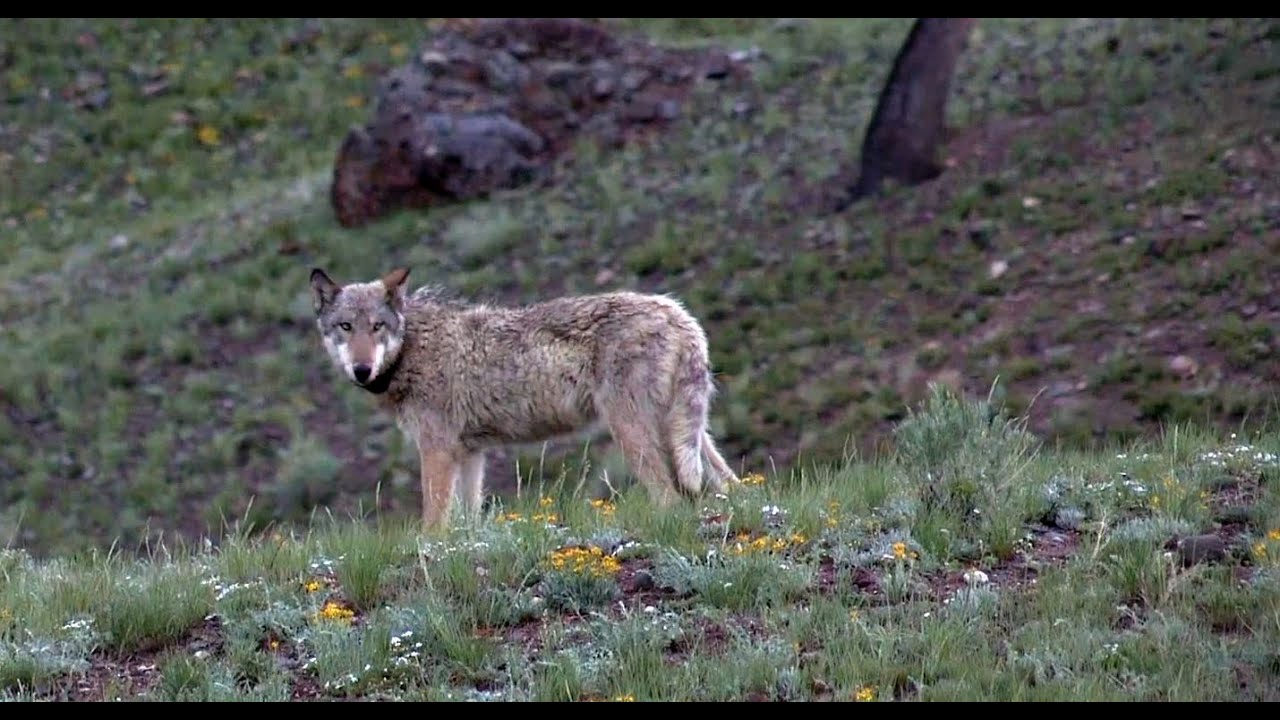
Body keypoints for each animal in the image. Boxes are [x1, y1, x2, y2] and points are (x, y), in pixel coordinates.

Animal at [309, 266, 741, 531]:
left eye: (376, 327)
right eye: (345, 327)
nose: (361, 369)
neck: (414, 347)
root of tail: (678, 314)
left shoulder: (437, 451)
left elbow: (433, 525)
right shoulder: (470, 454)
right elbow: (468, 520)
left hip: (634, 436)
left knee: (669, 498)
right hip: (689, 438)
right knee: (730, 485)